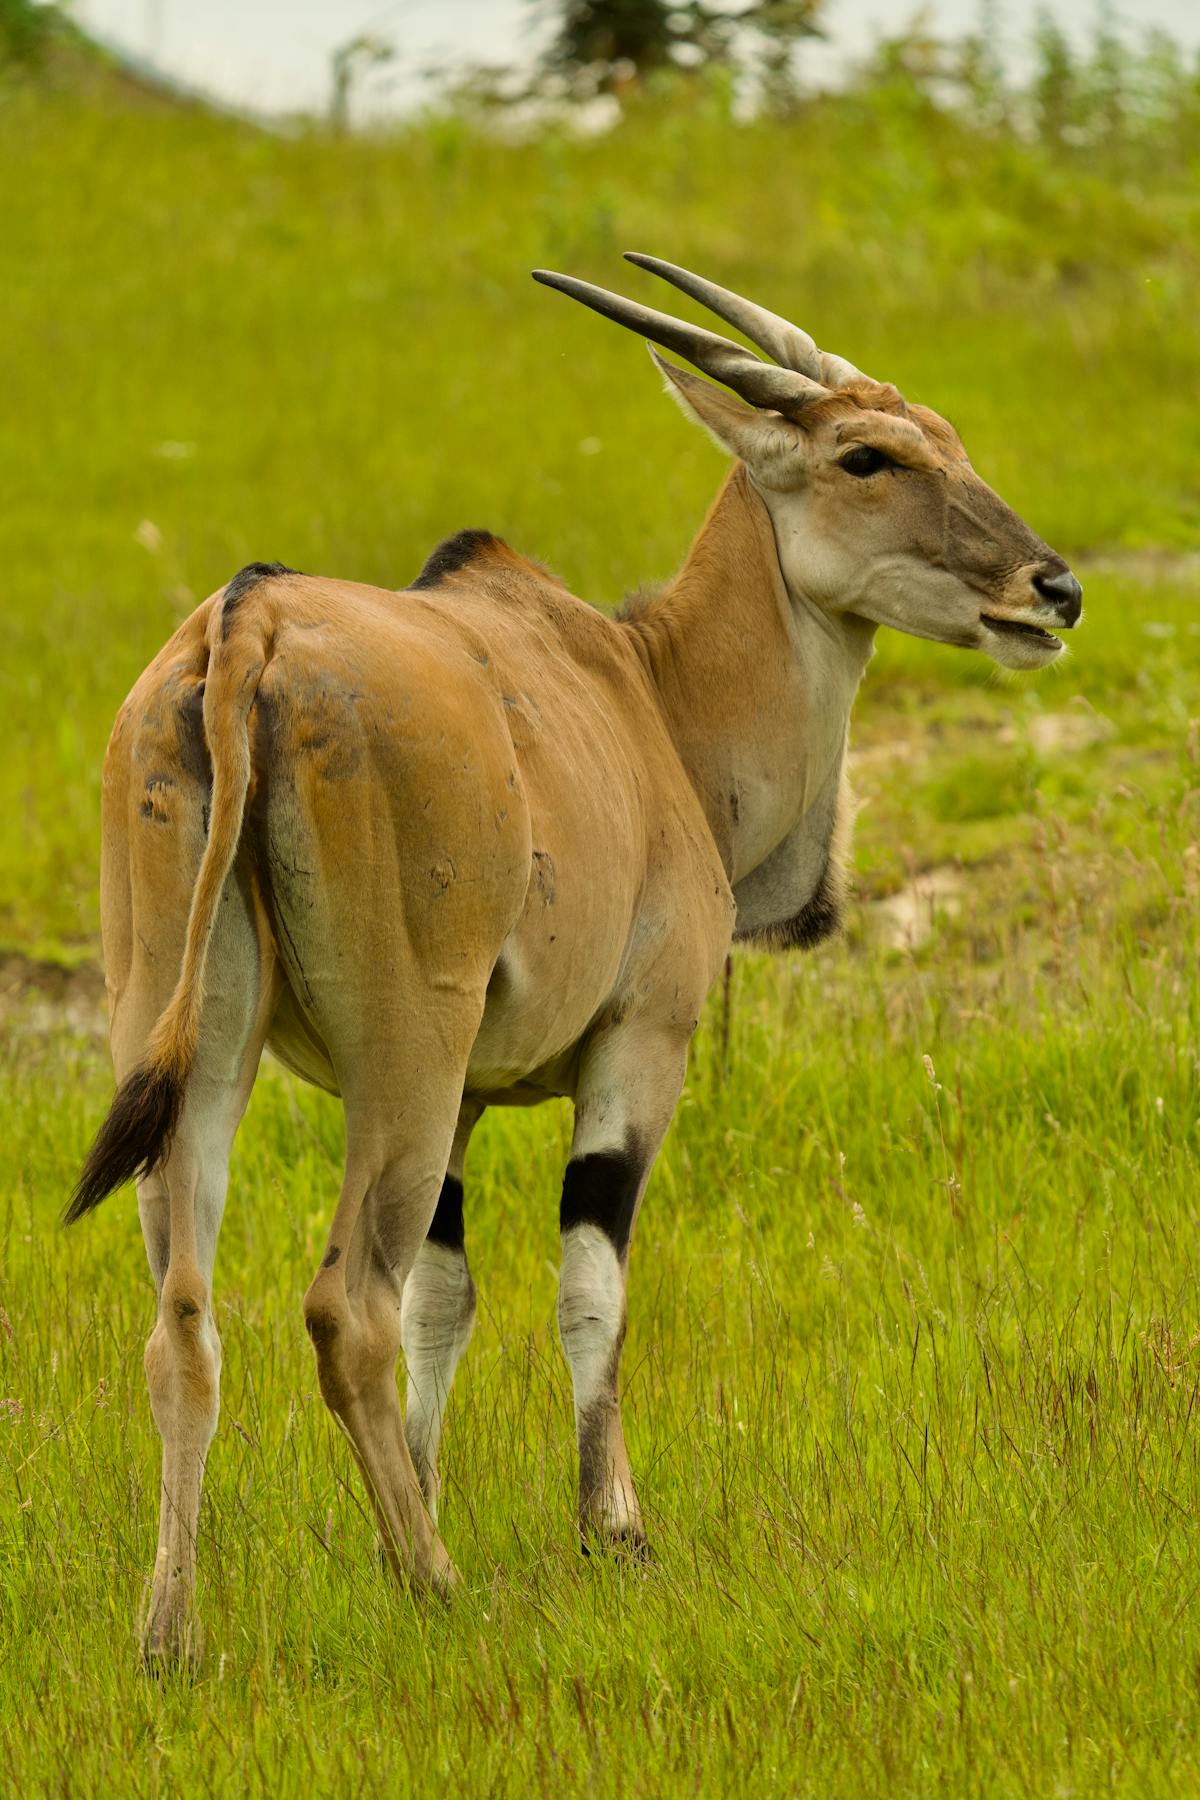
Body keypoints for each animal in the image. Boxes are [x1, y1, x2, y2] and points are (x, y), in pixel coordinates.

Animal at [69, 254, 1083, 1662]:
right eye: (867, 457)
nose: (1053, 591)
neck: (648, 695)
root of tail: (244, 633)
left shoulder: (467, 1108)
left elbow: (448, 1299)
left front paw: (408, 1520)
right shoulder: (635, 1047)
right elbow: (588, 1290)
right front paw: (614, 1532)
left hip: (199, 1055)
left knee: (185, 1320)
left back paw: (174, 1633)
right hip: (404, 1055)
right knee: (344, 1308)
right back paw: (439, 1584)